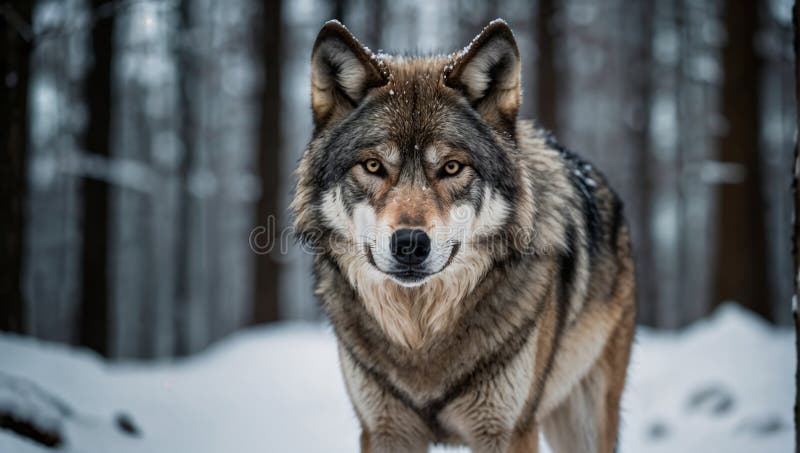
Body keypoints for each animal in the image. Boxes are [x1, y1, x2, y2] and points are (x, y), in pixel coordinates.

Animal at [291, 19, 636, 453]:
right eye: (372, 166)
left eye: (452, 167)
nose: (409, 244)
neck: (420, 338)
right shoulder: (383, 430)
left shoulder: (508, 430)